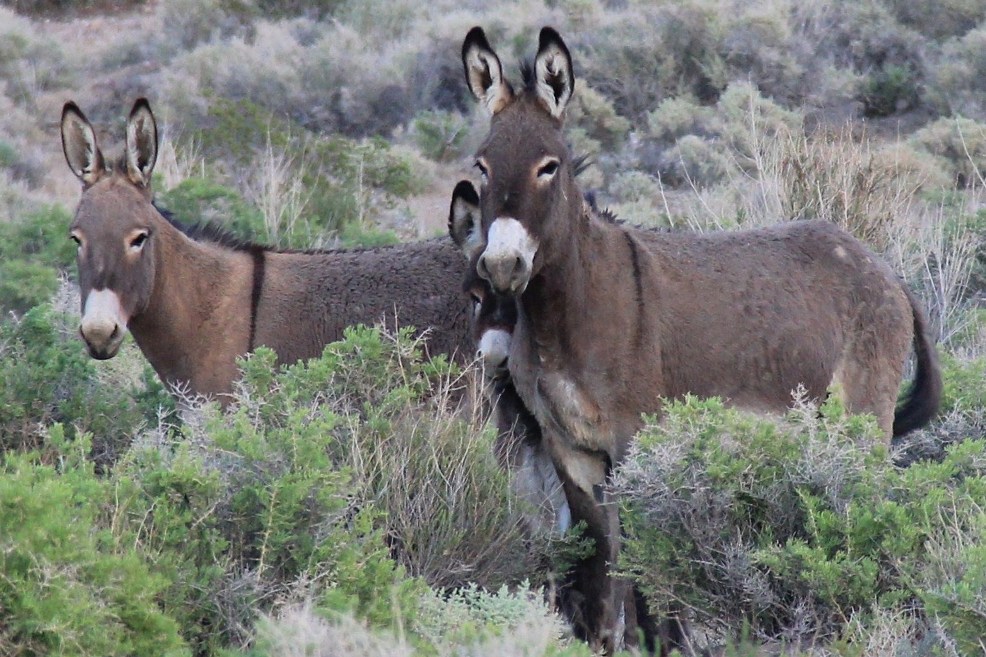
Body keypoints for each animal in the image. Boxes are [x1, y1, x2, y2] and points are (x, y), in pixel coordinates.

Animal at [461, 25, 941, 653]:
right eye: (483, 165)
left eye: (550, 167)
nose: (502, 265)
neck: (569, 314)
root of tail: (882, 269)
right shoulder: (571, 452)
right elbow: (599, 570)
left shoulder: (636, 443)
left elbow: (644, 568)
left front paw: (663, 643)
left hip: (862, 423)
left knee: (869, 515)